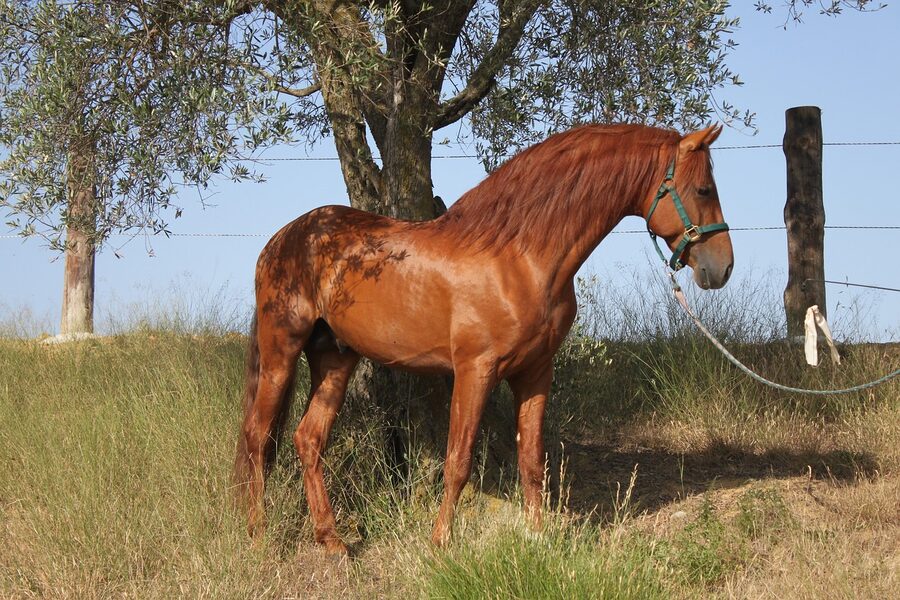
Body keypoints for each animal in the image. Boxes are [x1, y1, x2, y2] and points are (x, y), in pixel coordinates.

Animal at [233, 123, 733, 555]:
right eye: (704, 190)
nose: (722, 267)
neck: (519, 255)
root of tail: (280, 240)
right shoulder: (475, 370)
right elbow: (457, 462)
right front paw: (440, 545)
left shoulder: (535, 373)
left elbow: (531, 459)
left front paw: (537, 539)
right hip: (281, 350)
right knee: (257, 438)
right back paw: (256, 534)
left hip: (335, 358)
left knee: (307, 439)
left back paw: (332, 541)